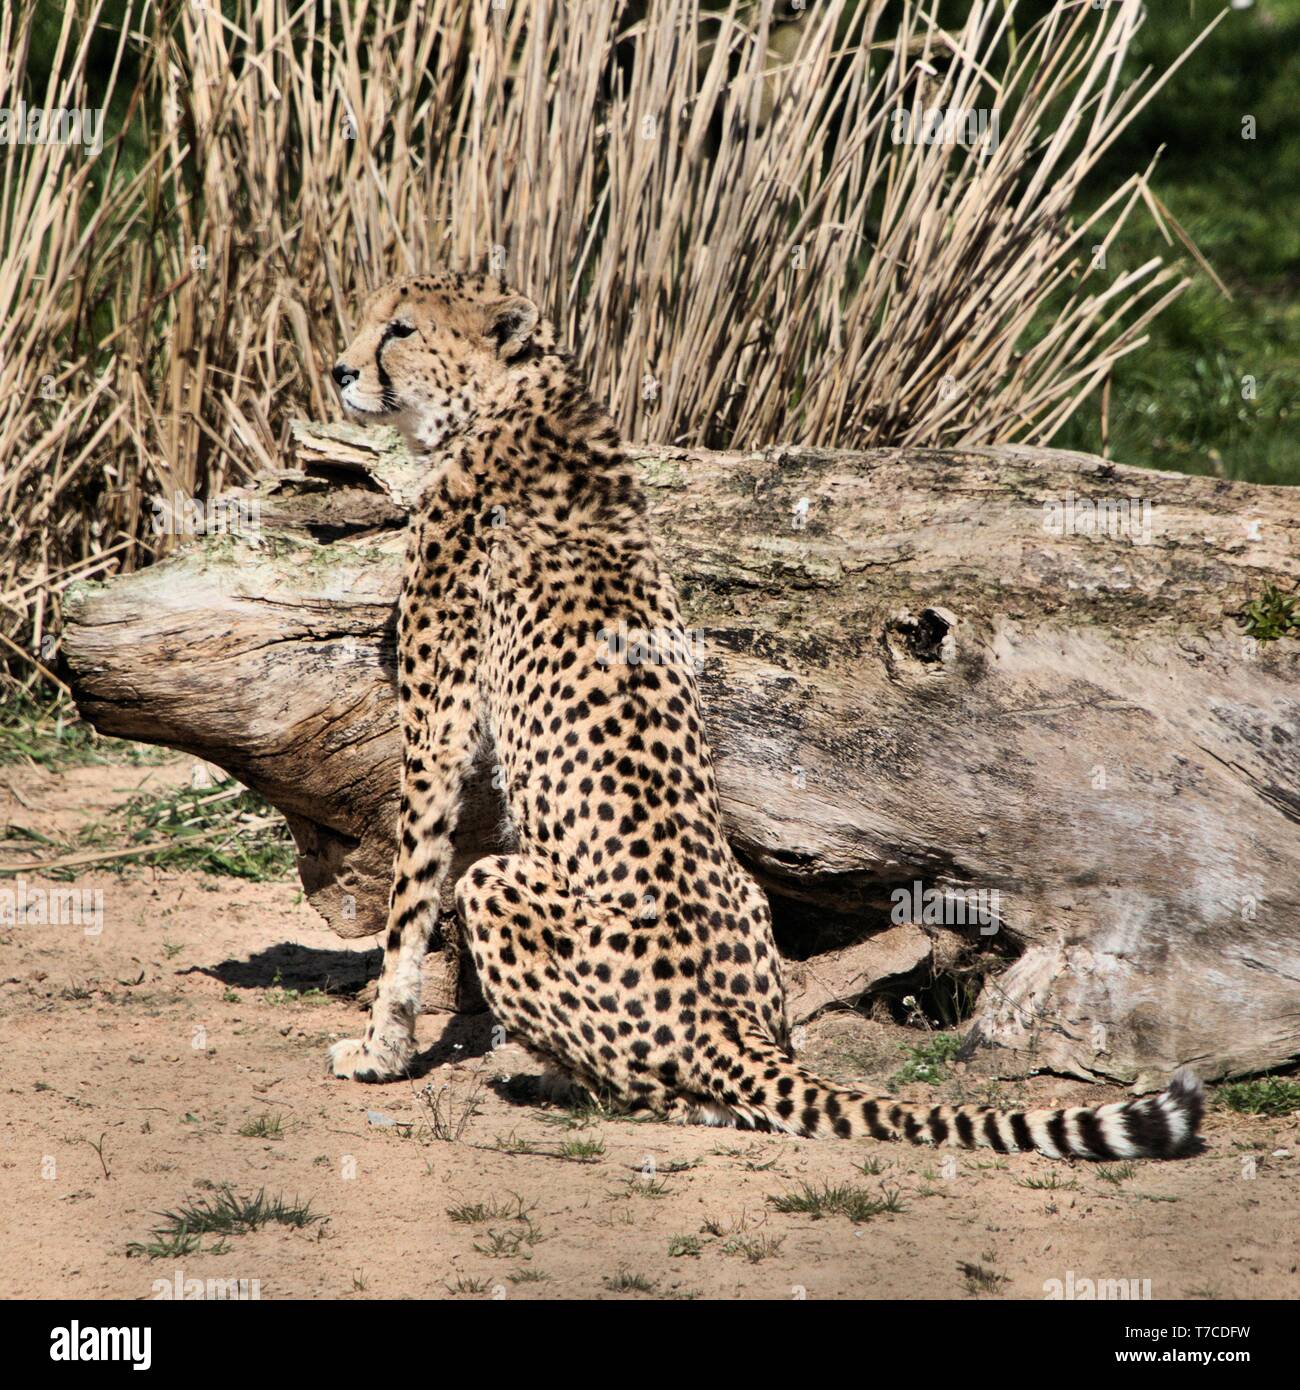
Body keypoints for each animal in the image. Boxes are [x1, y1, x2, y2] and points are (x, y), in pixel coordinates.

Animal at [325, 268, 1203, 1161]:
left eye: (399, 329)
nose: (339, 370)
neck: (516, 397)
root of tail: (733, 1027)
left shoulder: (439, 720)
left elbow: (409, 896)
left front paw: (380, 1049)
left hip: (500, 887)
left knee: (658, 1093)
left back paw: (545, 1080)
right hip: (748, 906)